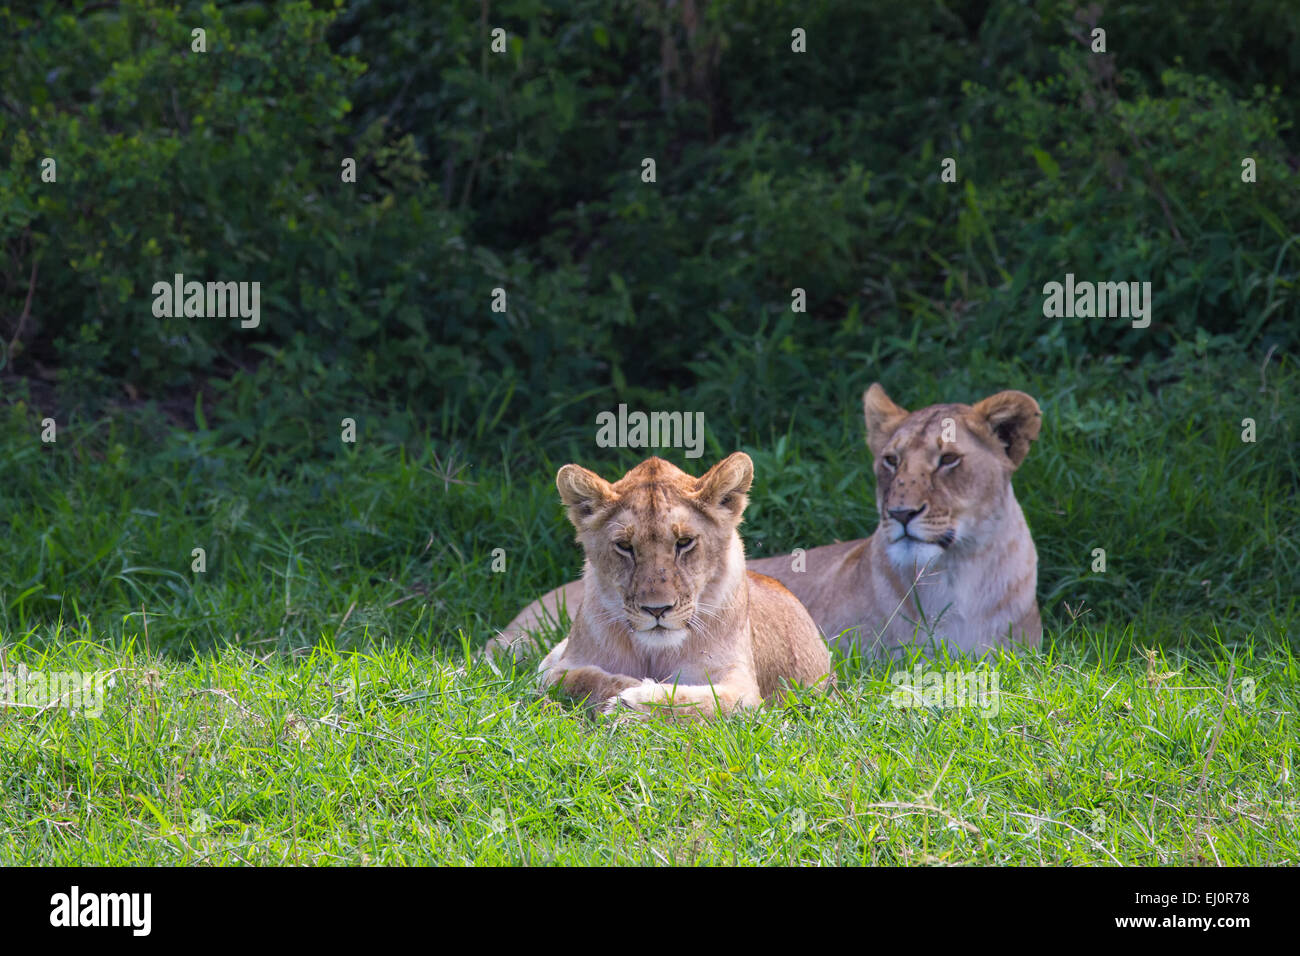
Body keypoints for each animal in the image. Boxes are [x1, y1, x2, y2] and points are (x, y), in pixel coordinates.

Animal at [524, 452, 831, 717]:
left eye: (684, 542)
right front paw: (630, 687)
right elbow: (576, 679)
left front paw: (634, 703)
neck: (655, 652)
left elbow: (698, 702)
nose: (656, 610)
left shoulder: (744, 692)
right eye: (625, 546)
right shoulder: (557, 666)